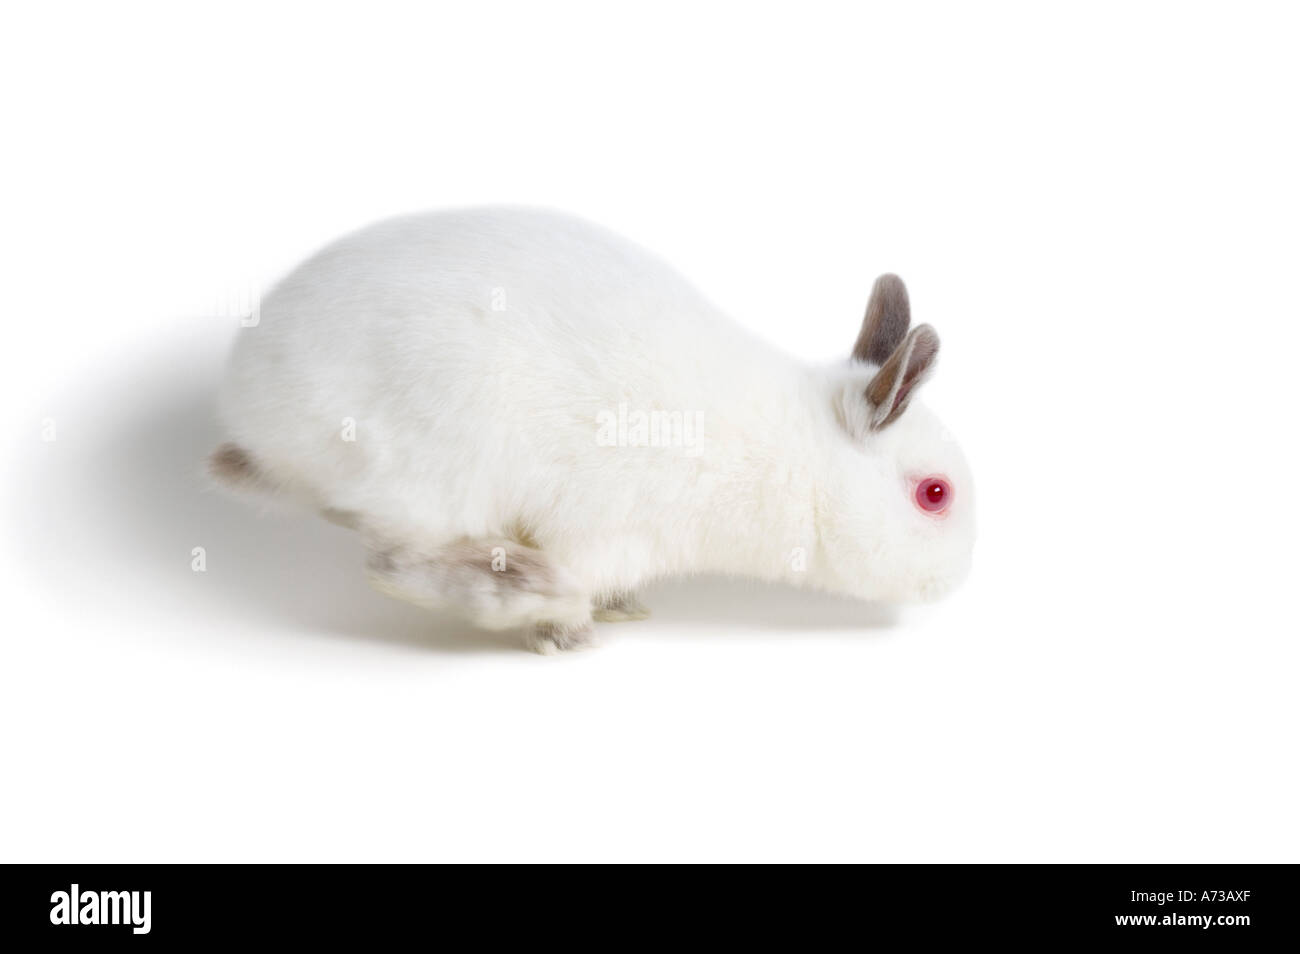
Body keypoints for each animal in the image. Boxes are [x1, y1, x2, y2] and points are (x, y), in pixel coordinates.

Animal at [211, 207, 975, 653]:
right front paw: (560, 629)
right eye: (934, 494)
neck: (799, 465)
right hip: (431, 468)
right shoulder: (608, 532)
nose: (957, 583)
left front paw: (618, 612)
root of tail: (251, 408)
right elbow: (571, 575)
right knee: (397, 558)